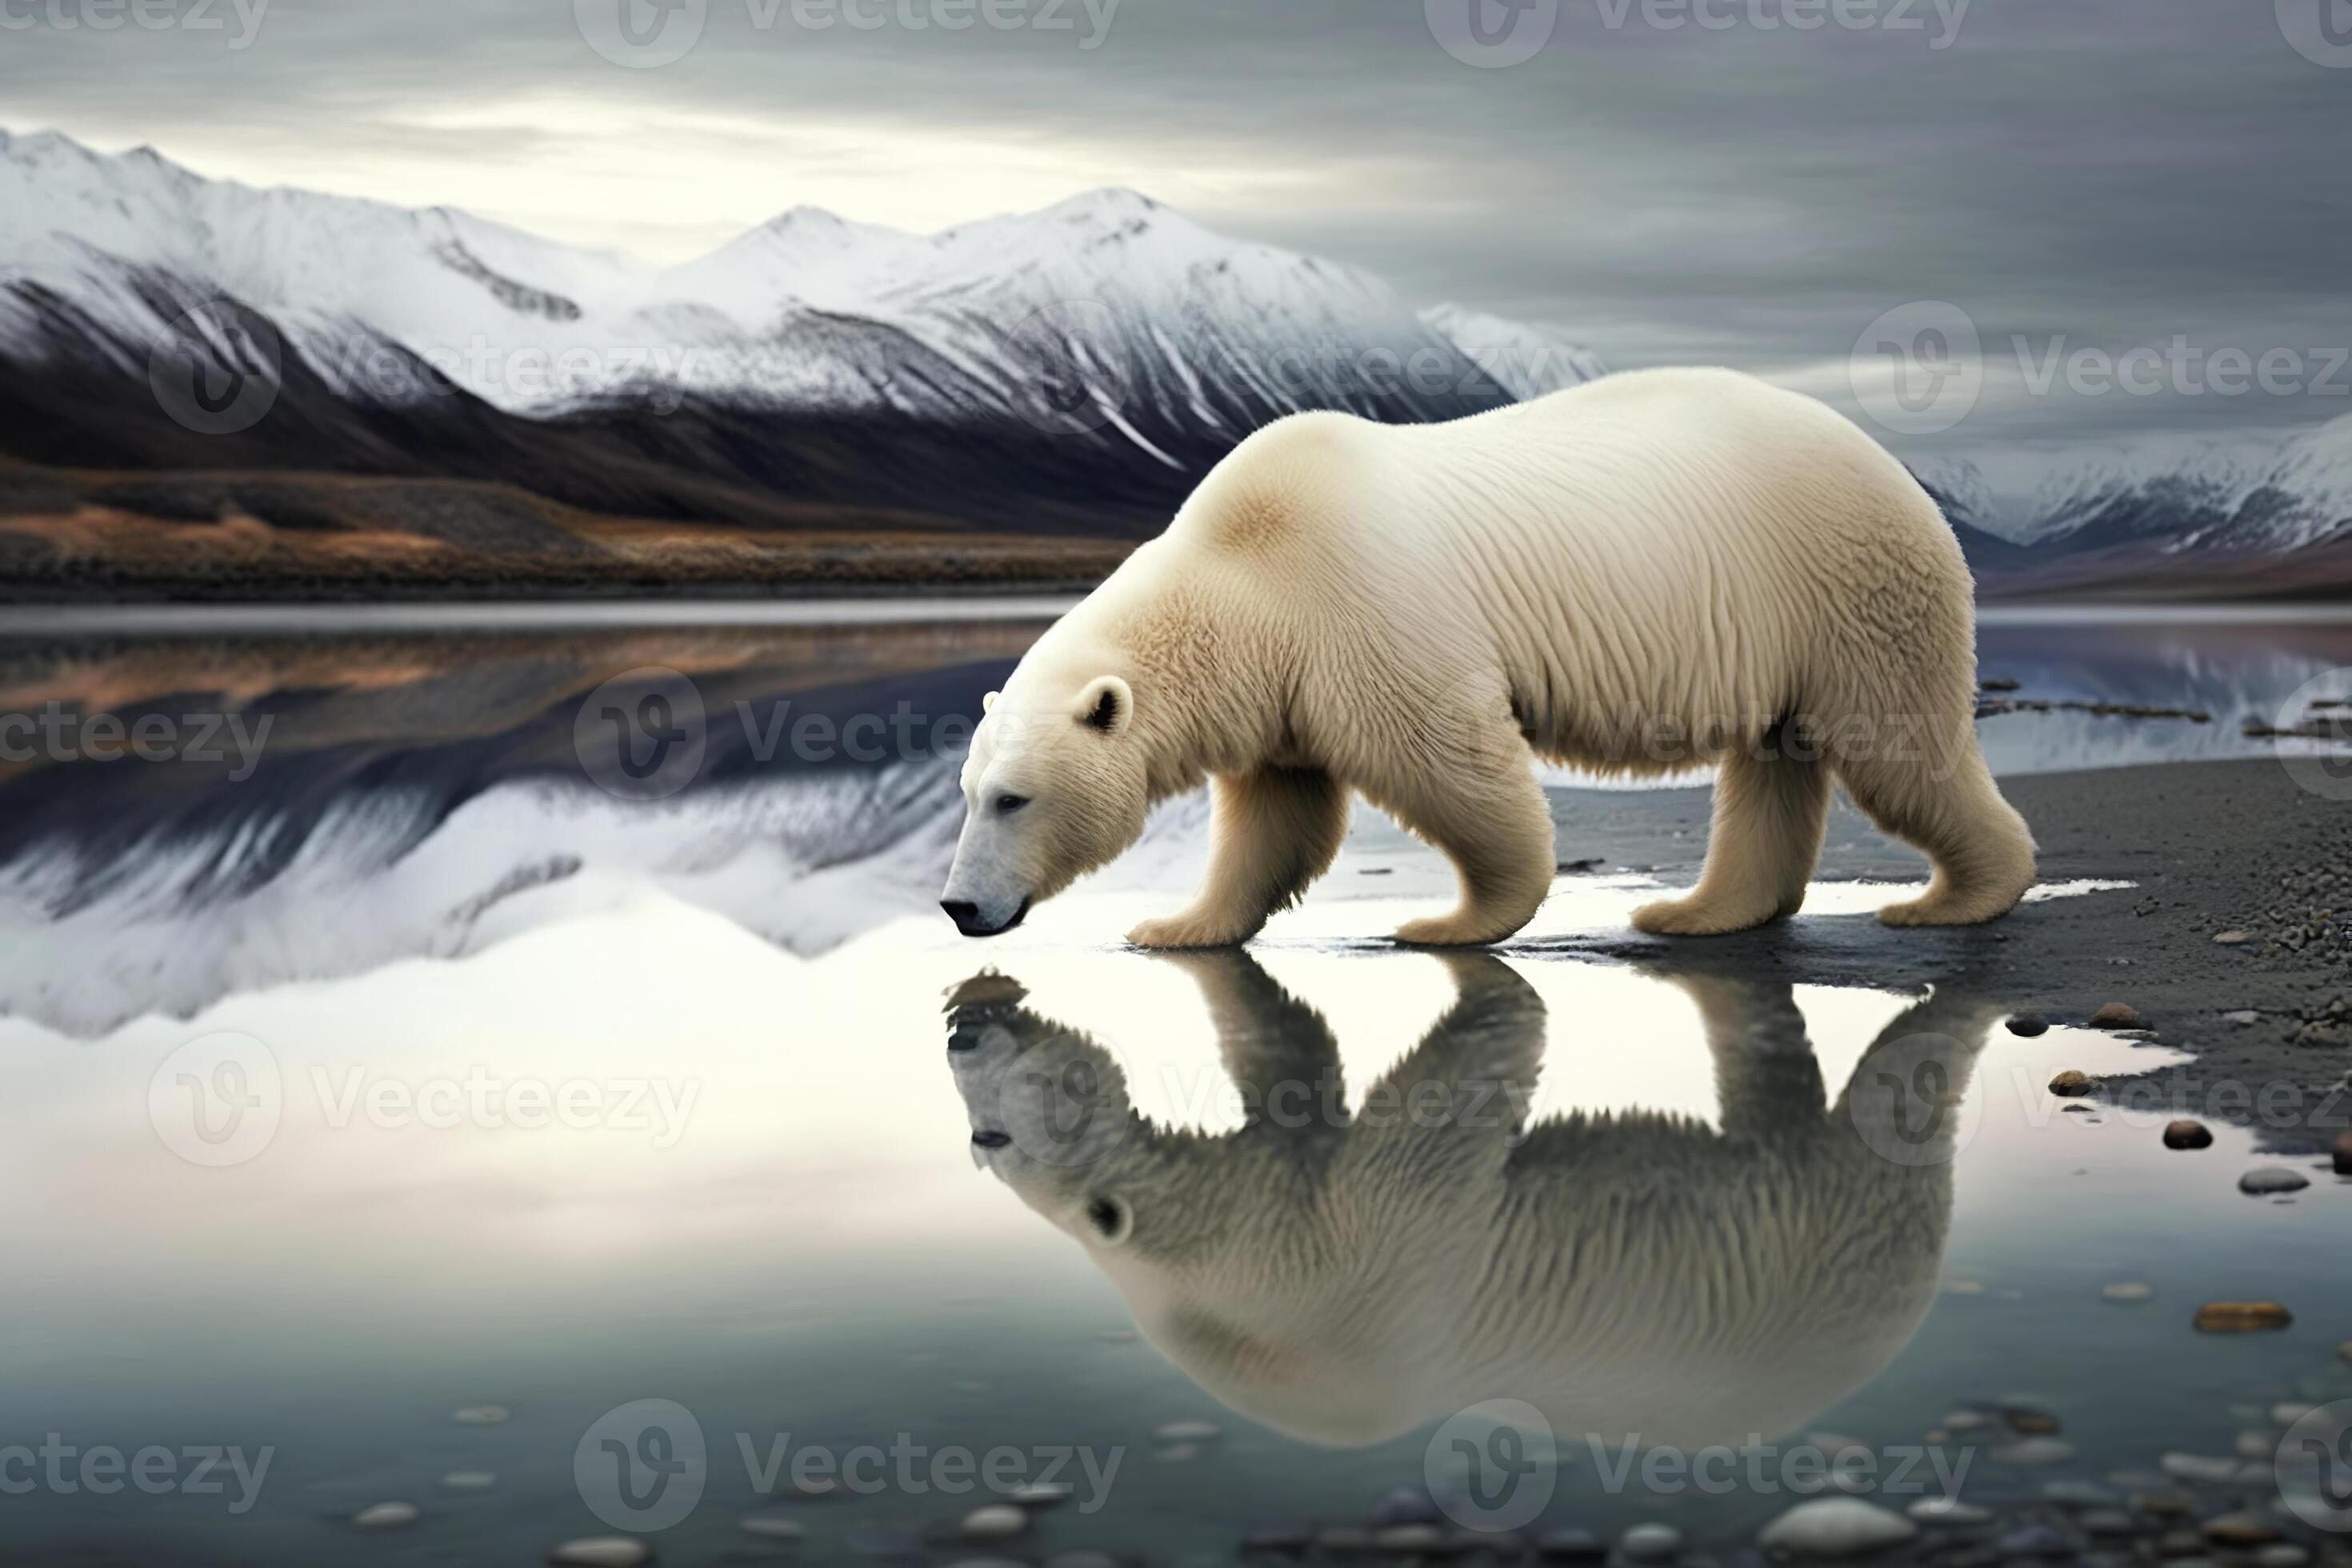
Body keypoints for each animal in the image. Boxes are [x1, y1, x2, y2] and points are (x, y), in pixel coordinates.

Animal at [937, 366, 2036, 947]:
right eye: (970, 792)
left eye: (1014, 799)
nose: (957, 904)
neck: (1244, 569)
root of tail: (1896, 468)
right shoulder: (1280, 683)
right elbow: (1278, 817)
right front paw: (1176, 925)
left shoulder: (1356, 610)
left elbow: (1445, 757)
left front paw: (1449, 921)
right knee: (1774, 758)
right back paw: (1693, 909)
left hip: (1841, 582)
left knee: (1896, 743)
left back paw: (1951, 897)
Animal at [945, 950, 2000, 1449]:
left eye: (990, 1135)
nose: (961, 1027)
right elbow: (1299, 1085)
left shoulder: (1358, 1277)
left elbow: (1468, 1072)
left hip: (1843, 1242)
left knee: (1893, 1100)